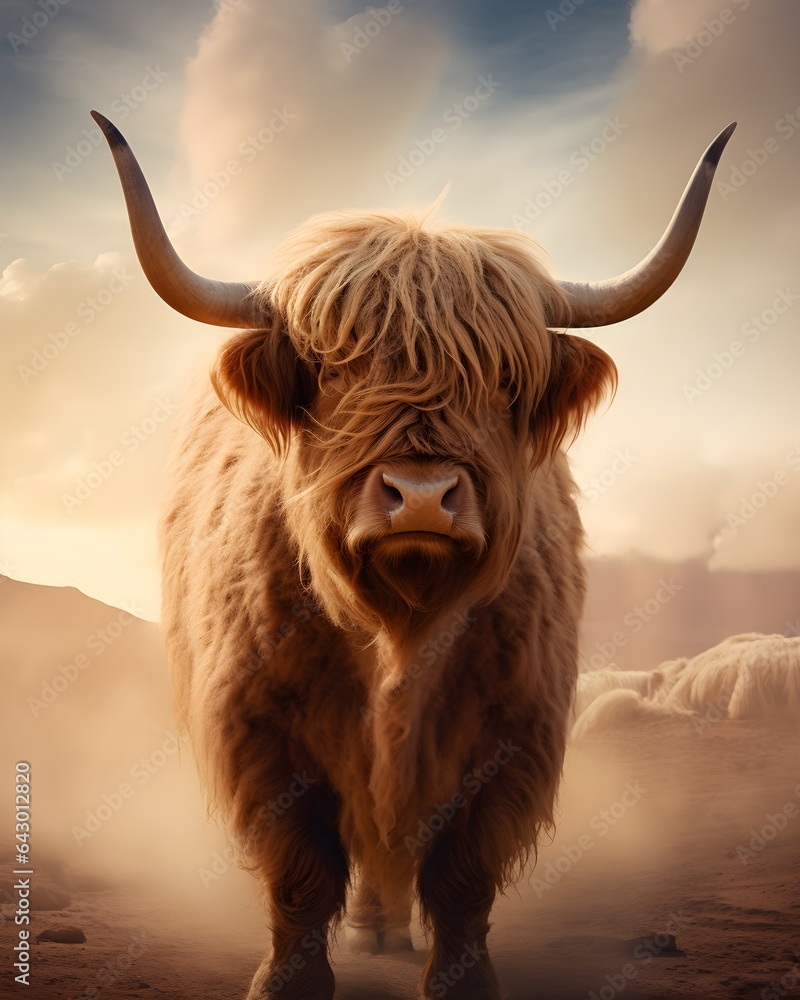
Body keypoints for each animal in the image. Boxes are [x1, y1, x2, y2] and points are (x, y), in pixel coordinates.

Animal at [92, 109, 735, 1000]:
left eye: (504, 380)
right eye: (332, 372)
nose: (423, 496)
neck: (400, 619)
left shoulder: (513, 729)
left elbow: (464, 874)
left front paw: (462, 982)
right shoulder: (260, 729)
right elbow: (301, 871)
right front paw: (287, 982)